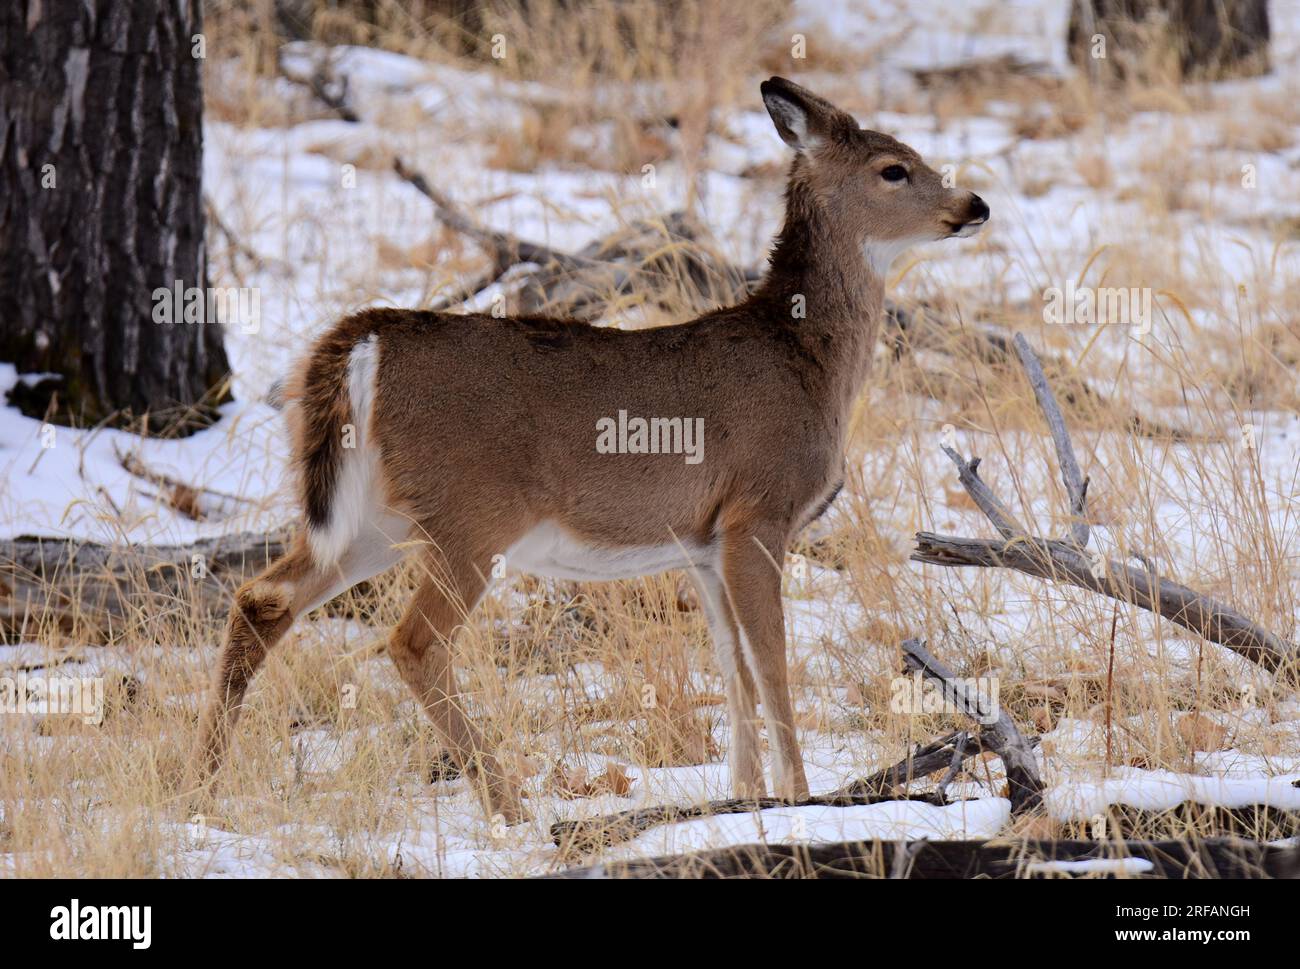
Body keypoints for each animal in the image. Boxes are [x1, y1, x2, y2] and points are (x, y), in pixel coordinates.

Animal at [192, 77, 988, 824]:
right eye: (894, 168)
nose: (975, 204)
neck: (804, 361)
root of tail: (366, 339)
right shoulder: (759, 511)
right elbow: (770, 664)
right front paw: (799, 799)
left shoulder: (704, 543)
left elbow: (732, 668)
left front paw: (745, 797)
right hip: (470, 515)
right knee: (410, 641)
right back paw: (509, 807)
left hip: (371, 518)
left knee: (263, 597)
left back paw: (201, 785)